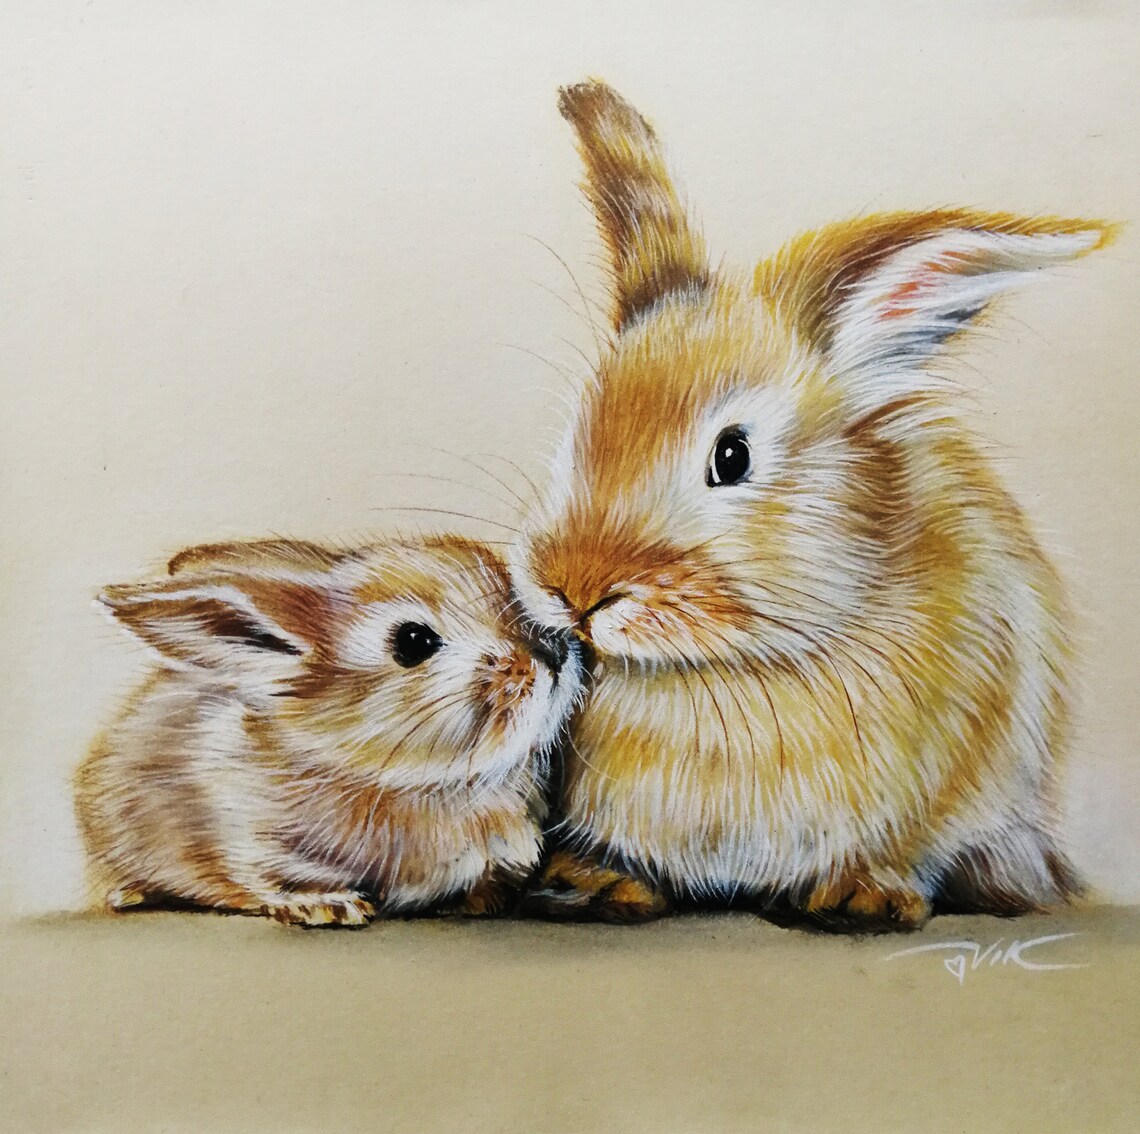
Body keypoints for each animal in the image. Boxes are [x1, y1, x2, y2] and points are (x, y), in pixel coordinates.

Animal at [75, 537, 581, 926]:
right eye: (413, 641)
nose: (552, 654)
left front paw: (476, 903)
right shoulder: (240, 835)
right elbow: (259, 879)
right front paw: (327, 906)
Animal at [508, 79, 1115, 931]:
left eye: (732, 456)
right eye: (576, 436)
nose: (576, 589)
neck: (737, 666)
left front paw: (865, 894)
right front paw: (594, 881)